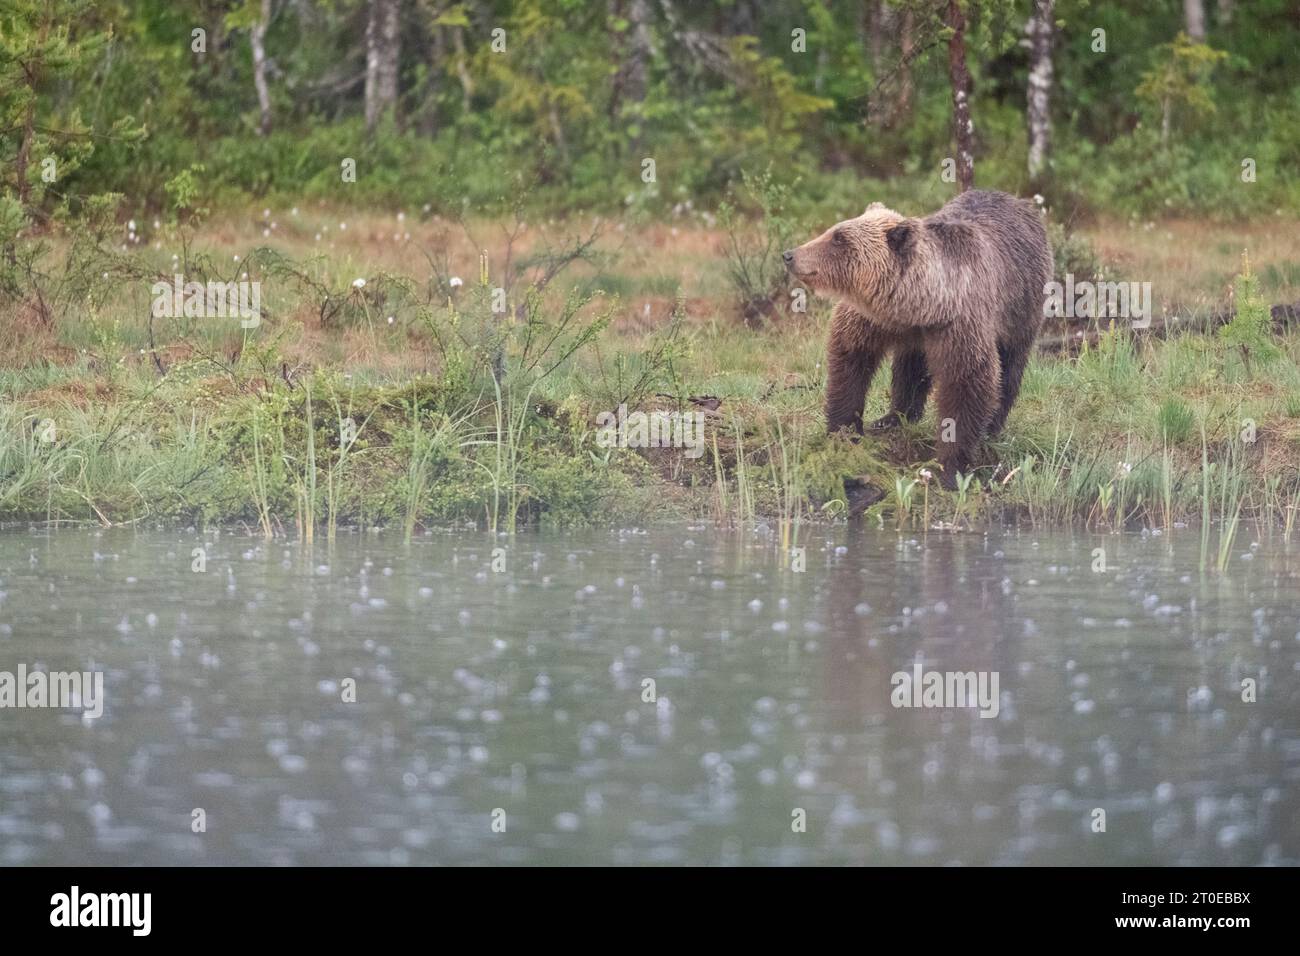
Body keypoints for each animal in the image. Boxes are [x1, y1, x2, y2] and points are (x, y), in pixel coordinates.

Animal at [783, 189, 1051, 487]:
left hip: (1022, 307)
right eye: (834, 231)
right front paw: (843, 432)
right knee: (909, 367)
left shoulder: (959, 325)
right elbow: (850, 360)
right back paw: (893, 418)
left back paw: (992, 426)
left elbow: (967, 382)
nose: (789, 255)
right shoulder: (871, 320)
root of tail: (1018, 202)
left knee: (1010, 368)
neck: (916, 306)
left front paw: (950, 467)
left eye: (839, 238)